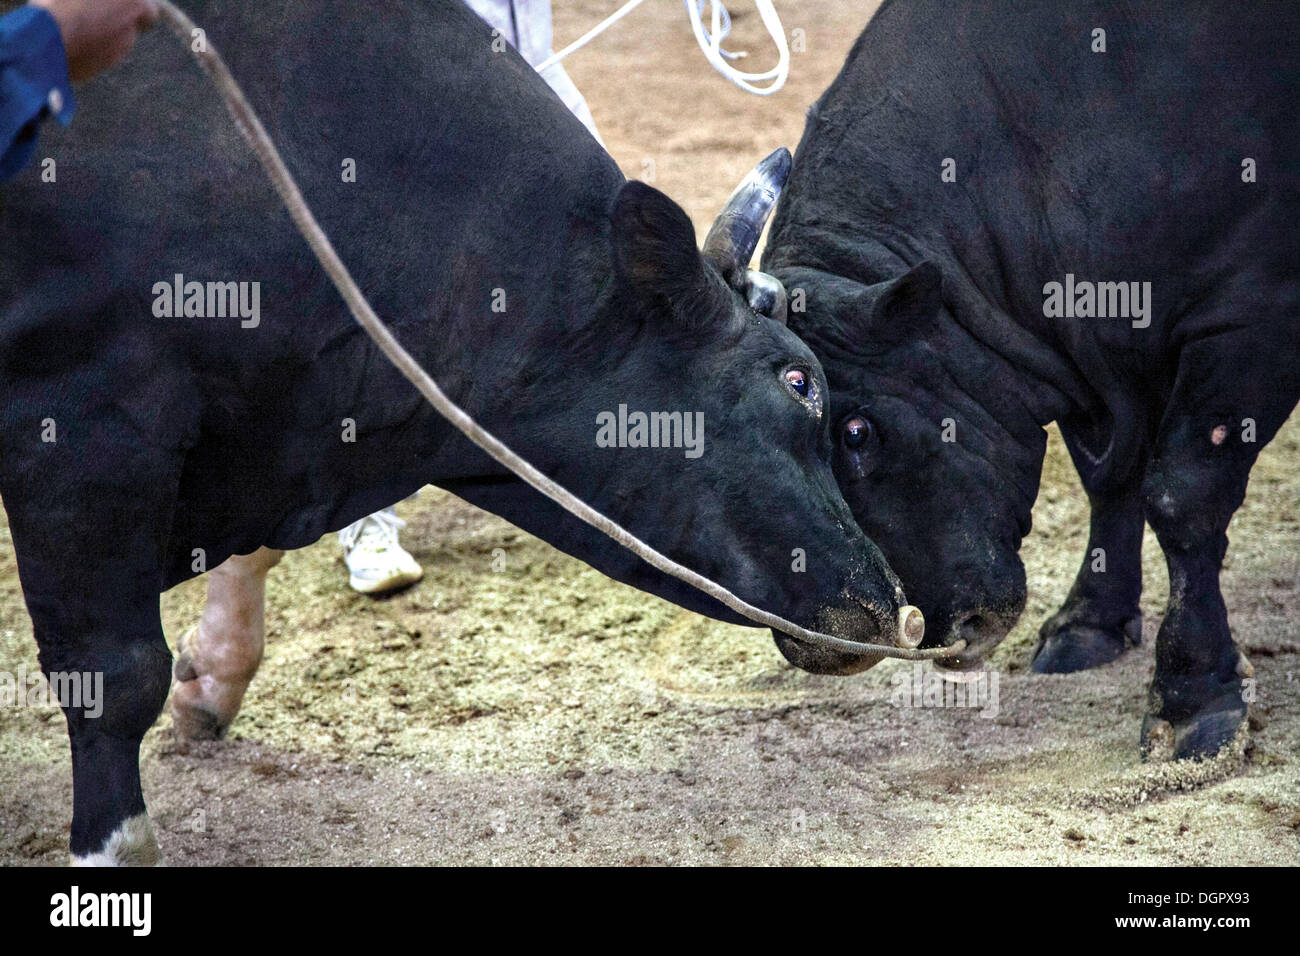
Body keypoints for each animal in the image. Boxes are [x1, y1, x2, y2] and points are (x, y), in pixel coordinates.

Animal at [763, 0, 1300, 761]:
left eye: (857, 431)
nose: (830, 646)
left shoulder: (1252, 319)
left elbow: (1181, 499)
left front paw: (1194, 694)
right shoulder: (1092, 358)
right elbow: (1111, 480)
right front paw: (1090, 621)